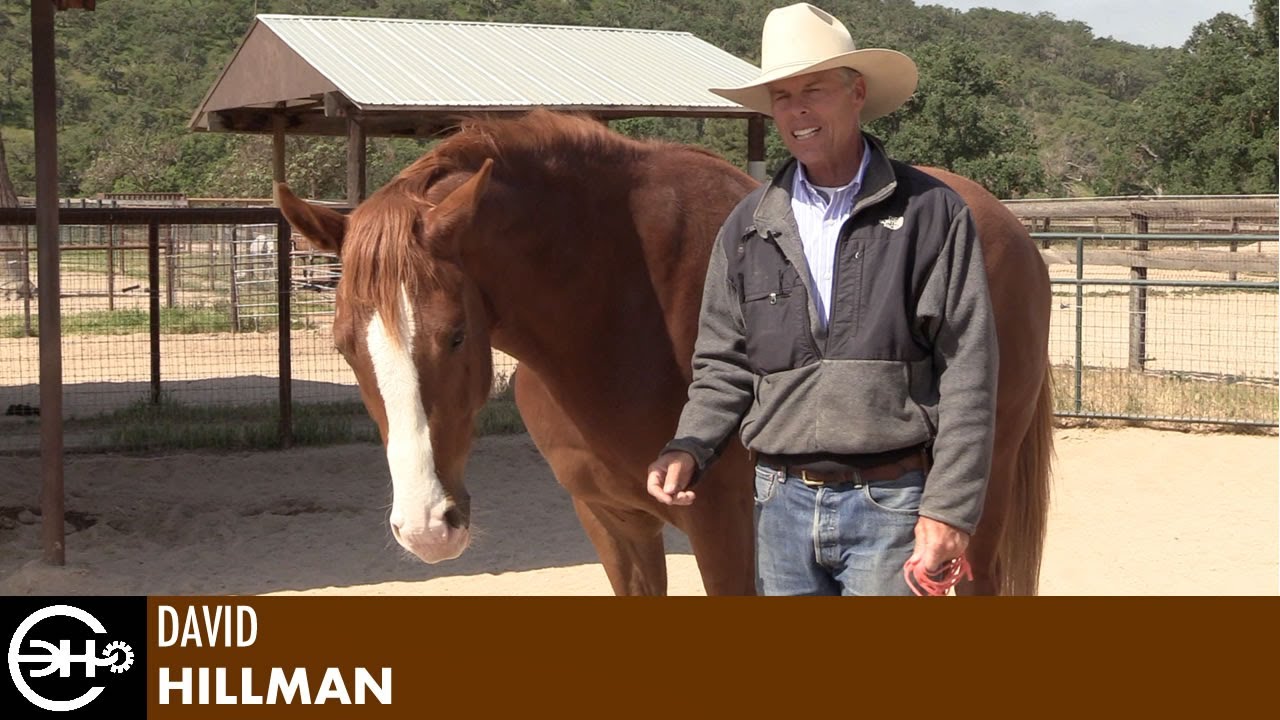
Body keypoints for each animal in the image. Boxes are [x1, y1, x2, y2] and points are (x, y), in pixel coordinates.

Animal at [274, 109, 1053, 595]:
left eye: (456, 334)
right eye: (345, 346)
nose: (425, 526)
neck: (614, 309)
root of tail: (1009, 228)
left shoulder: (726, 530)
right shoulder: (612, 524)